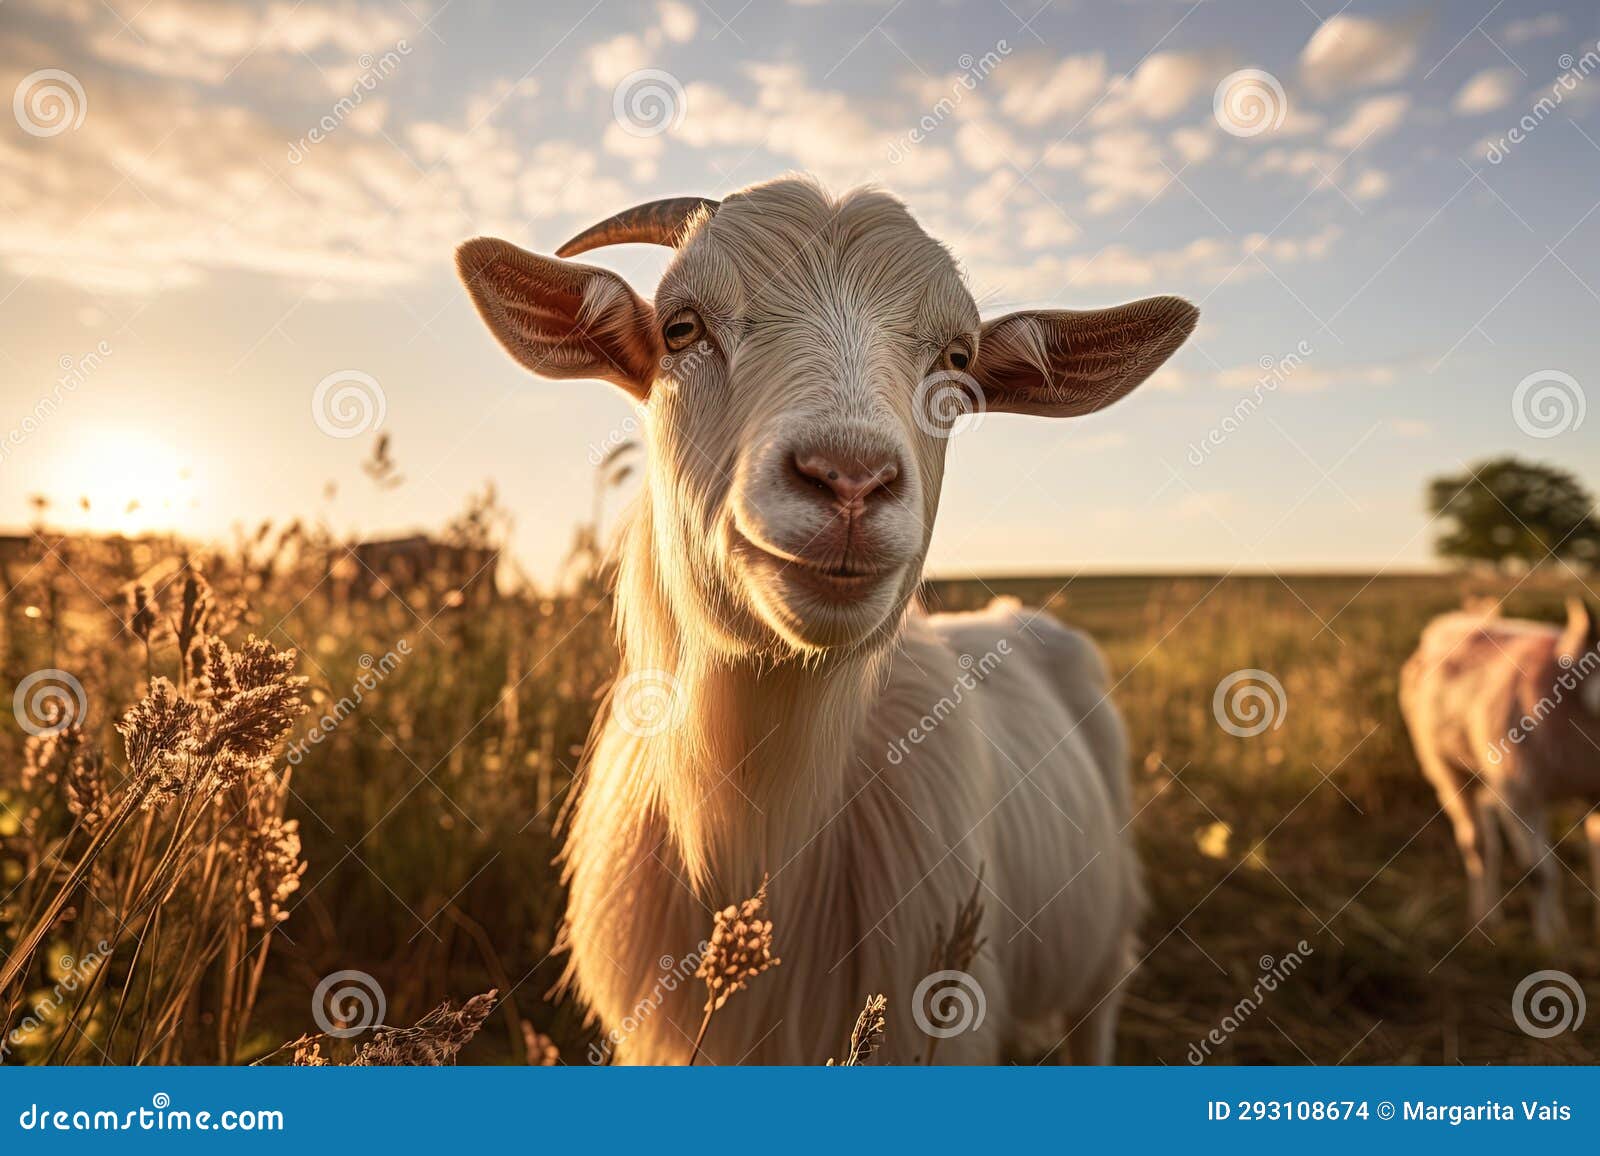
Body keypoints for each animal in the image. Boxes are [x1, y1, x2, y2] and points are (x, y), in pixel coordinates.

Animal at [1400, 598, 1600, 945]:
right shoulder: (1519, 794)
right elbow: (1538, 873)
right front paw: (1547, 943)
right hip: (1447, 769)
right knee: (1479, 845)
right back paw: (1485, 919)